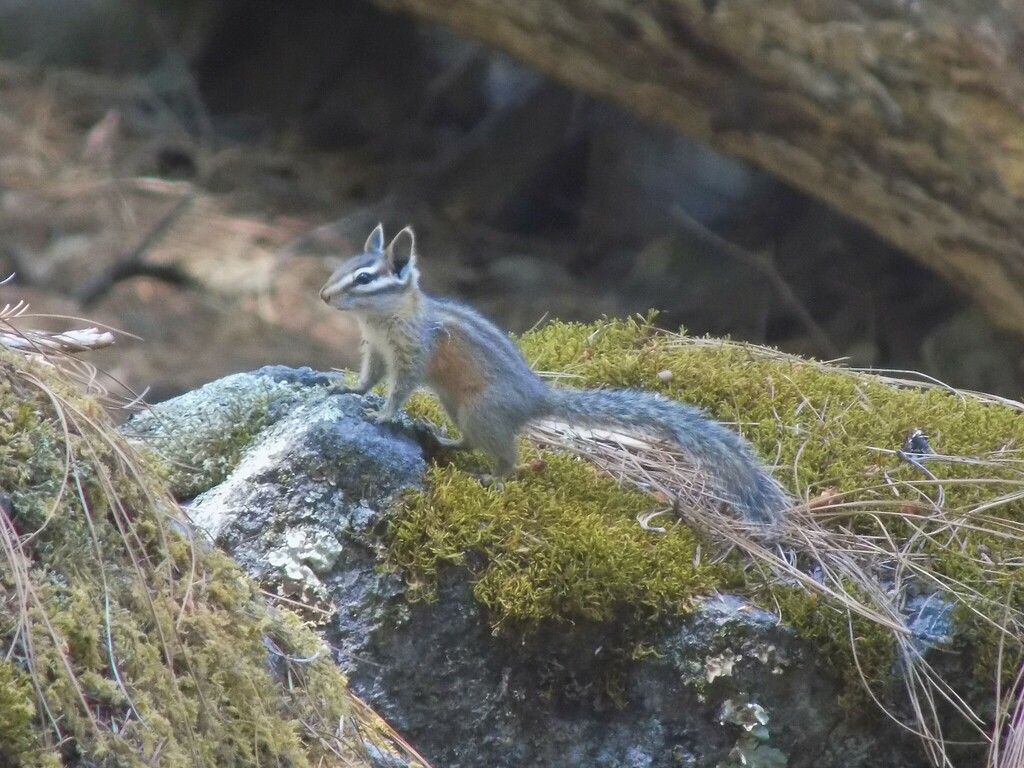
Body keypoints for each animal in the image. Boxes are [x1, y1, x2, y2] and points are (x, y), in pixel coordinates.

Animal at [319, 224, 789, 525]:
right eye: (339, 268)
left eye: (364, 278)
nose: (323, 295)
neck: (380, 319)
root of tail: (536, 397)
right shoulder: (376, 351)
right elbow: (369, 377)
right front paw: (348, 389)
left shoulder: (412, 354)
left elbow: (400, 387)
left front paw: (382, 415)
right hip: (457, 406)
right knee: (472, 440)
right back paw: (444, 440)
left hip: (481, 410)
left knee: (509, 456)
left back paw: (494, 477)